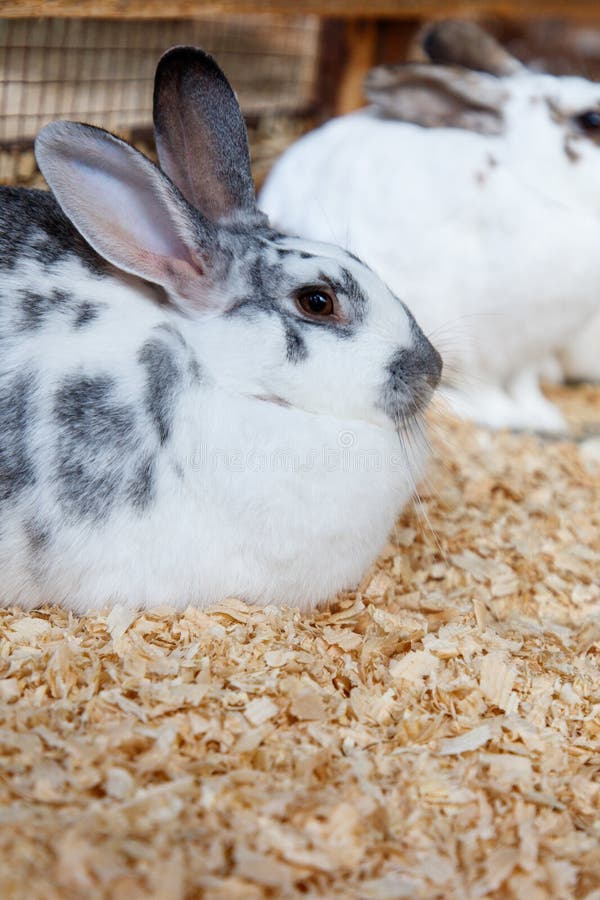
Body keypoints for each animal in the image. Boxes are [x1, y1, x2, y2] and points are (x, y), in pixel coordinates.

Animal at [259, 20, 600, 433]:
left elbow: (525, 385)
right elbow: (485, 386)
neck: (541, 185)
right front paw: (498, 416)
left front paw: (543, 418)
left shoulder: (531, 353)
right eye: (592, 120)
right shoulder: (483, 342)